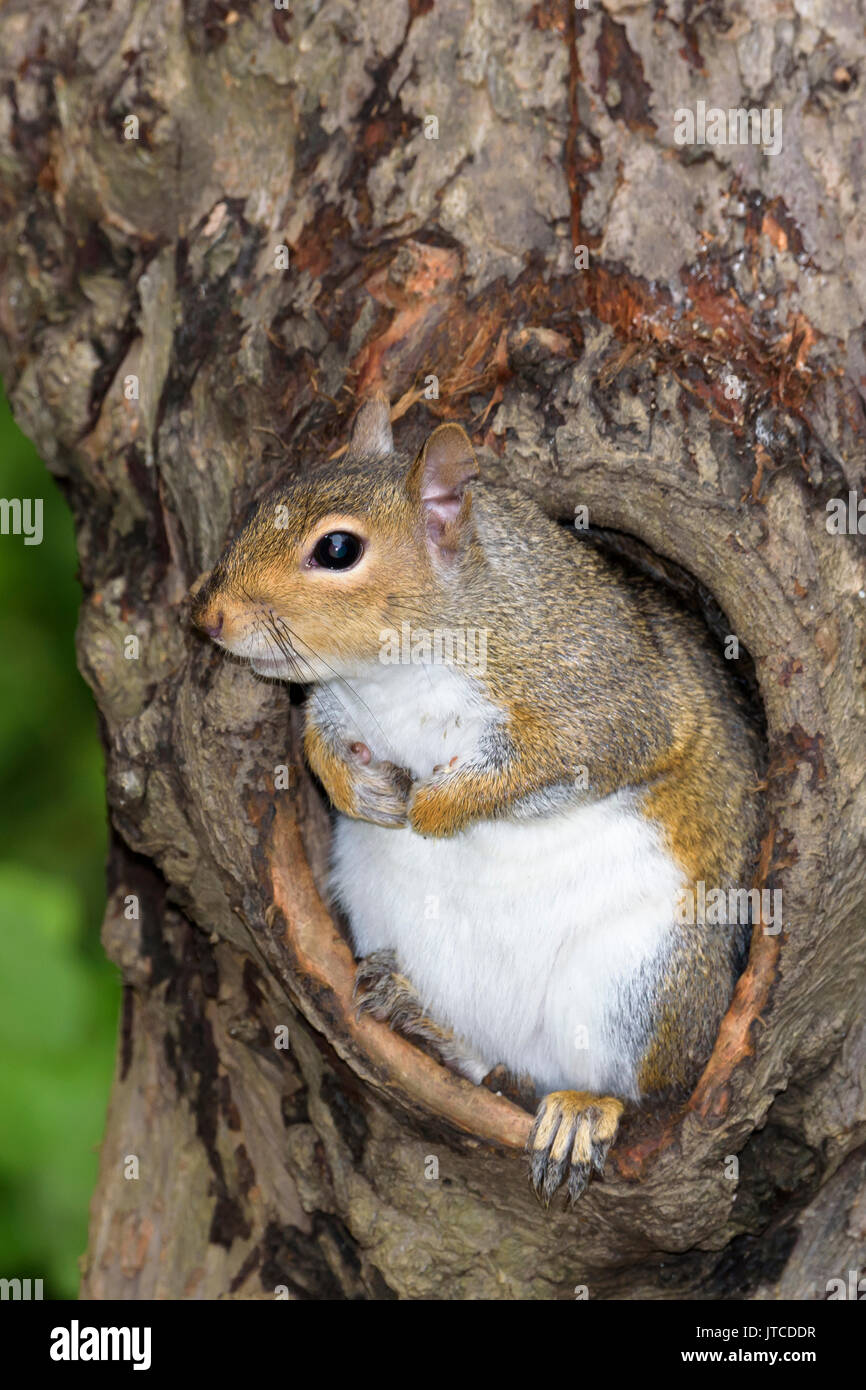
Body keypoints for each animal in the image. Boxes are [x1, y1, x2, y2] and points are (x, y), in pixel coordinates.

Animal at [192, 394, 763, 1206]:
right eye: (269, 499)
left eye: (336, 550)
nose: (209, 616)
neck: (396, 673)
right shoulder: (341, 705)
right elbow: (320, 741)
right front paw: (364, 792)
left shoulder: (606, 695)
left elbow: (558, 762)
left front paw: (432, 809)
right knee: (481, 1067)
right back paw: (421, 1018)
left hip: (644, 983)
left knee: (639, 1089)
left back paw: (583, 1109)